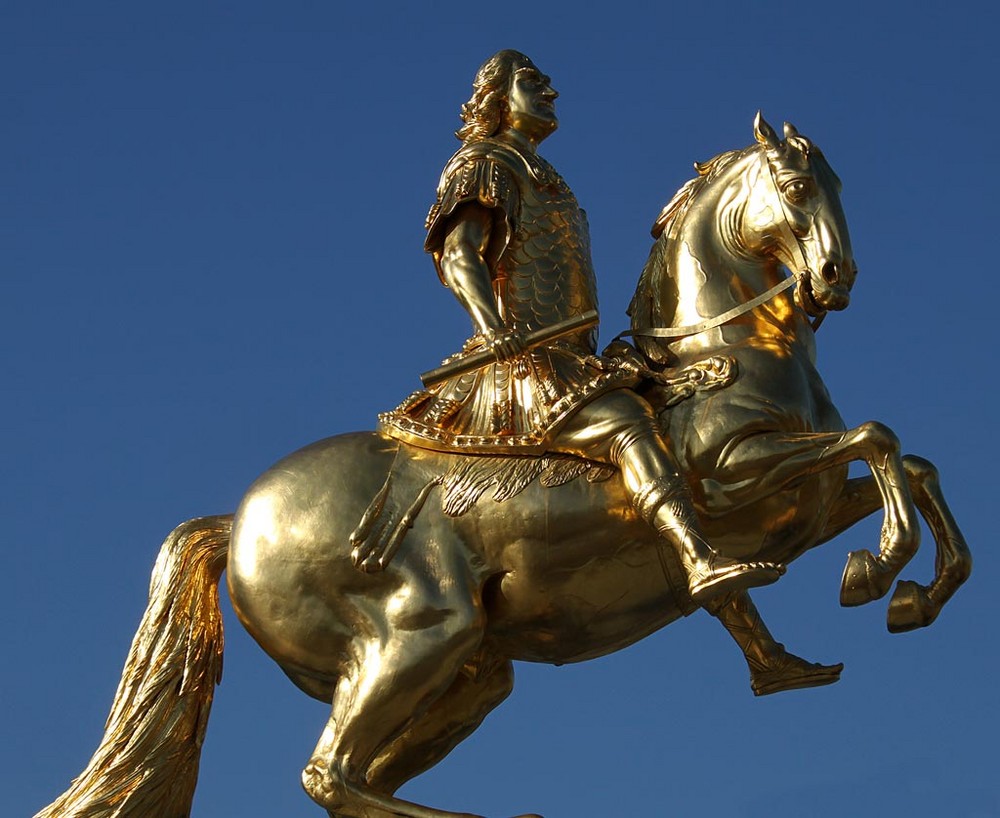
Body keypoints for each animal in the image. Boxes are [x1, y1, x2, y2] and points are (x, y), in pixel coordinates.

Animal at [37, 115, 968, 816]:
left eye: (840, 184)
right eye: (798, 187)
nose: (837, 277)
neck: (724, 353)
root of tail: (238, 522)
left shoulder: (805, 507)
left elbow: (914, 463)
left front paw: (912, 593)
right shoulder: (733, 479)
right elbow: (876, 439)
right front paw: (877, 569)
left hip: (469, 673)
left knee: (354, 780)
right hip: (421, 633)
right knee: (329, 775)